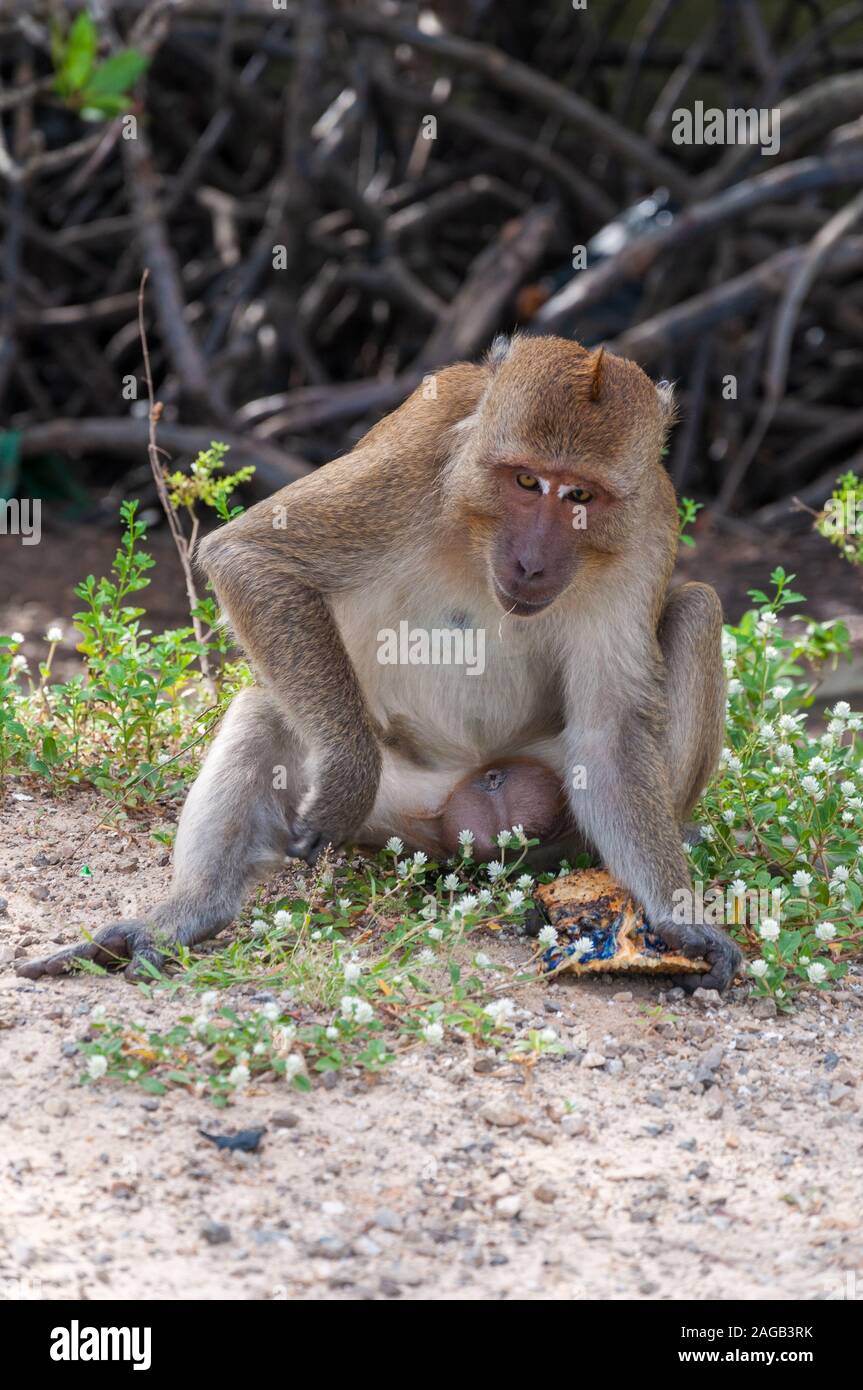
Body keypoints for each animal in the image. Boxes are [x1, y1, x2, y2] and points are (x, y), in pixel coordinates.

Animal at [18, 334, 741, 992]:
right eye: (526, 480)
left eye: (580, 498)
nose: (532, 562)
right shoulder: (416, 464)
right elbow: (253, 557)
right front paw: (345, 774)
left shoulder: (646, 529)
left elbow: (610, 735)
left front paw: (679, 920)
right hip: (394, 816)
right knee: (269, 710)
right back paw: (186, 914)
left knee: (697, 610)